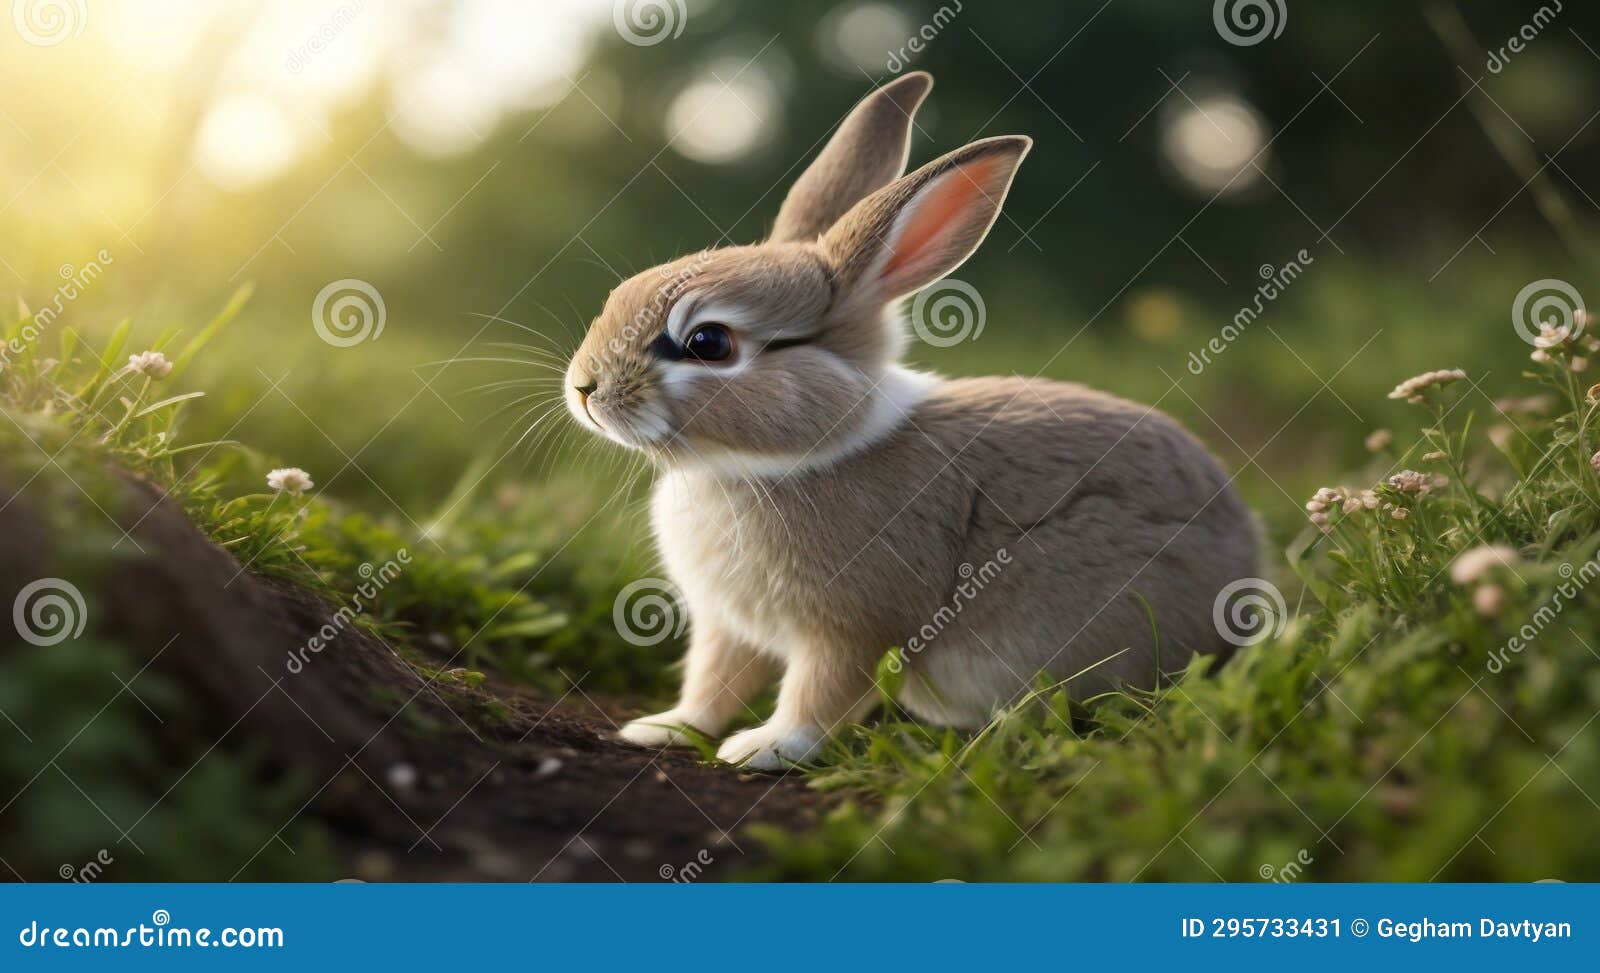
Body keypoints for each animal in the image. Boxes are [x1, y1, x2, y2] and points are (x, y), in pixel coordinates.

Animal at [564, 71, 1260, 770]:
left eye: (708, 343)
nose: (585, 389)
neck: (794, 457)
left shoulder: (853, 626)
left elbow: (818, 694)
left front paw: (763, 749)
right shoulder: (729, 628)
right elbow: (712, 684)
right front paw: (662, 728)